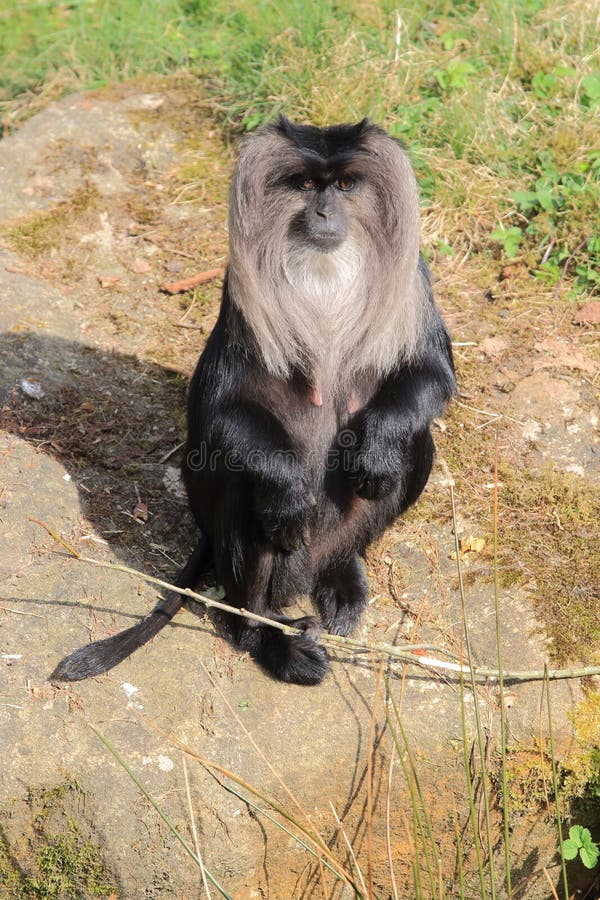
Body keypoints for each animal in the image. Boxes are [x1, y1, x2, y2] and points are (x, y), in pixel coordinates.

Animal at [52, 116, 456, 686]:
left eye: (345, 185)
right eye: (305, 186)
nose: (324, 213)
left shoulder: (413, 279)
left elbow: (430, 373)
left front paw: (377, 447)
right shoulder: (239, 299)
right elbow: (219, 413)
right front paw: (287, 493)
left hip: (328, 541)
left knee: (414, 446)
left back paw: (341, 573)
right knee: (245, 486)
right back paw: (267, 637)